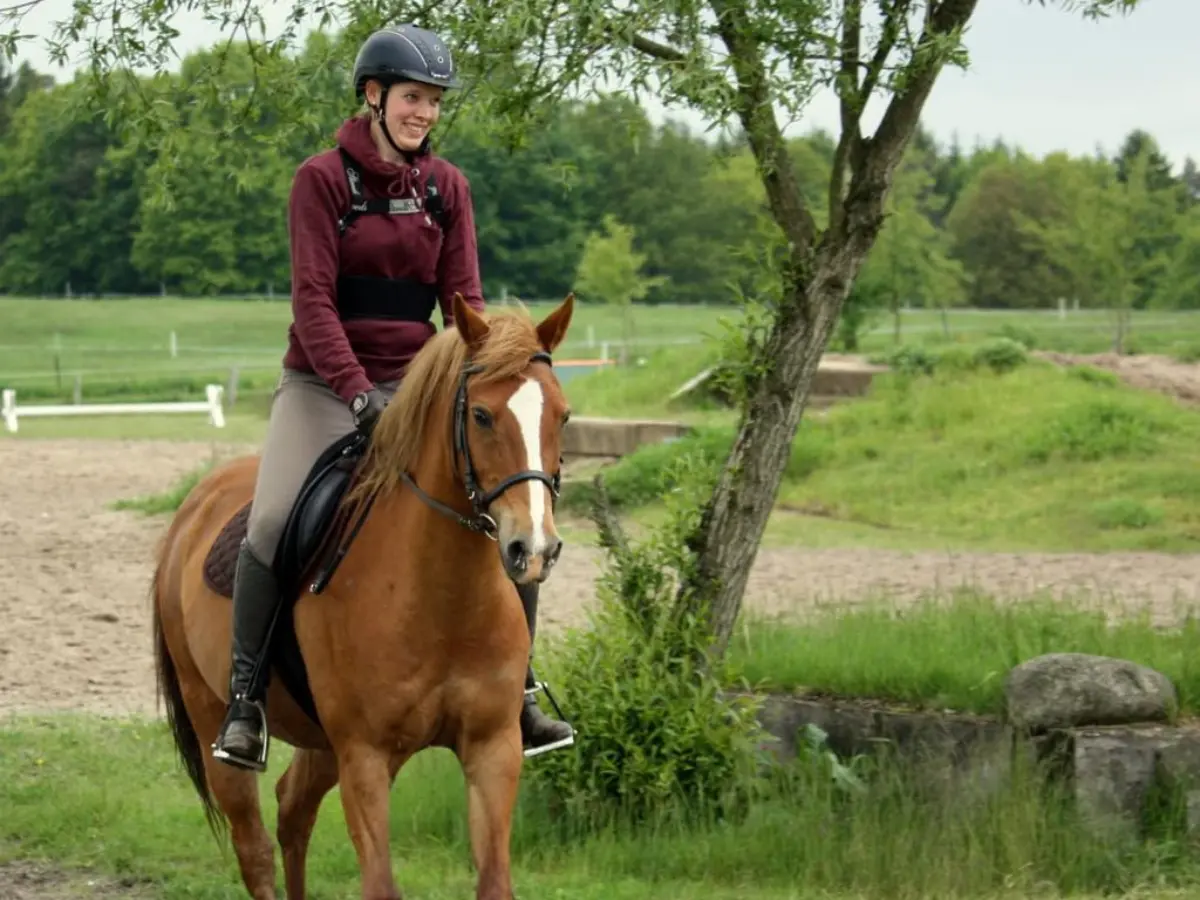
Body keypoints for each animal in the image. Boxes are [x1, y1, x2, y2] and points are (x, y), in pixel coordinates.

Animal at [149, 292, 576, 900]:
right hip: (216, 719)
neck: (441, 602)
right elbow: (379, 884)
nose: (533, 547)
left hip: (321, 743)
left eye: (562, 415)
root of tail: (192, 509)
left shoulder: (493, 750)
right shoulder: (366, 760)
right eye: (482, 415)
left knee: (292, 810)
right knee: (255, 849)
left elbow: (494, 881)